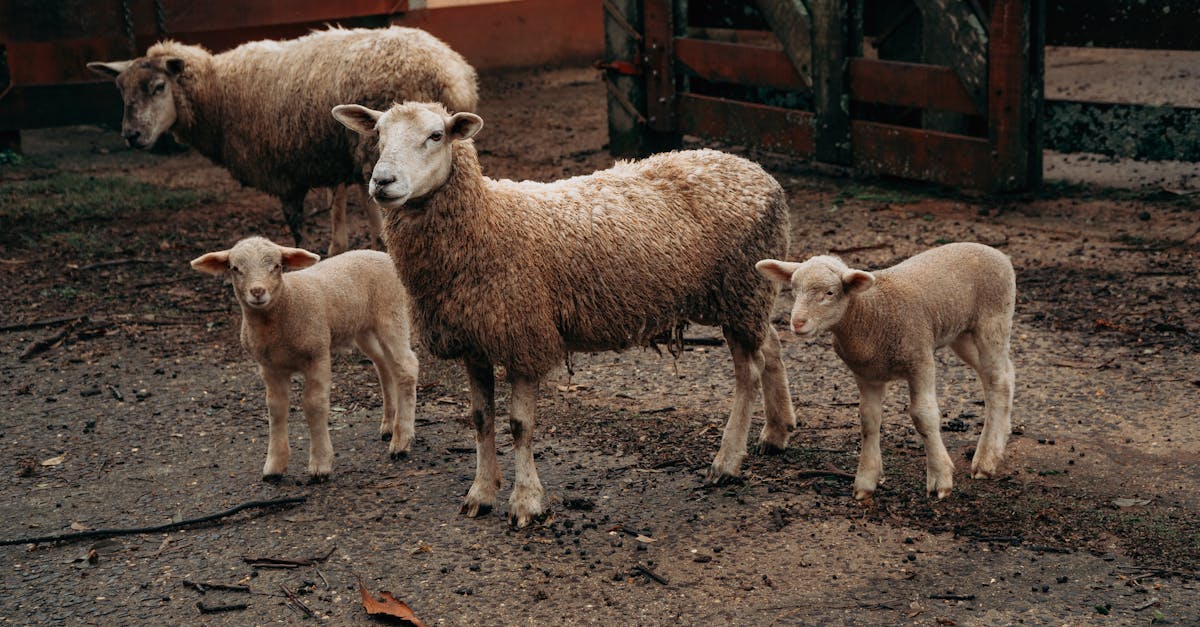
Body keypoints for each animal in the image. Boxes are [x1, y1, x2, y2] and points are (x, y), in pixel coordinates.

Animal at [193, 234, 422, 478]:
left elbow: (314, 405)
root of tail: (382, 254)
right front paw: (274, 465)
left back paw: (401, 441)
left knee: (406, 366)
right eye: (235, 268)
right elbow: (276, 408)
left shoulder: (317, 354)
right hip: (363, 328)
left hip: (392, 314)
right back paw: (389, 426)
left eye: (277, 266)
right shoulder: (270, 367)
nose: (257, 292)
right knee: (384, 365)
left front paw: (320, 464)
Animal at [331, 101, 796, 526]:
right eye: (378, 135)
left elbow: (519, 425)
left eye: (436, 136)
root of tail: (758, 172)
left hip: (739, 288)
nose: (382, 181)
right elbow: (481, 419)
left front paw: (525, 502)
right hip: (750, 294)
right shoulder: (475, 340)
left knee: (748, 374)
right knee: (771, 345)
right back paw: (777, 431)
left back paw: (727, 461)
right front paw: (481, 493)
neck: (488, 221)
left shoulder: (524, 334)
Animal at [758, 241, 1012, 499]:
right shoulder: (867, 374)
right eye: (794, 290)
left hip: (993, 322)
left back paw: (985, 460)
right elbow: (868, 421)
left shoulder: (920, 360)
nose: (797, 323)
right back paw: (998, 442)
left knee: (998, 382)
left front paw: (940, 478)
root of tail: (994, 252)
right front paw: (866, 480)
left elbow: (924, 416)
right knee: (1004, 375)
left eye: (829, 293)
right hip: (961, 335)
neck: (870, 311)